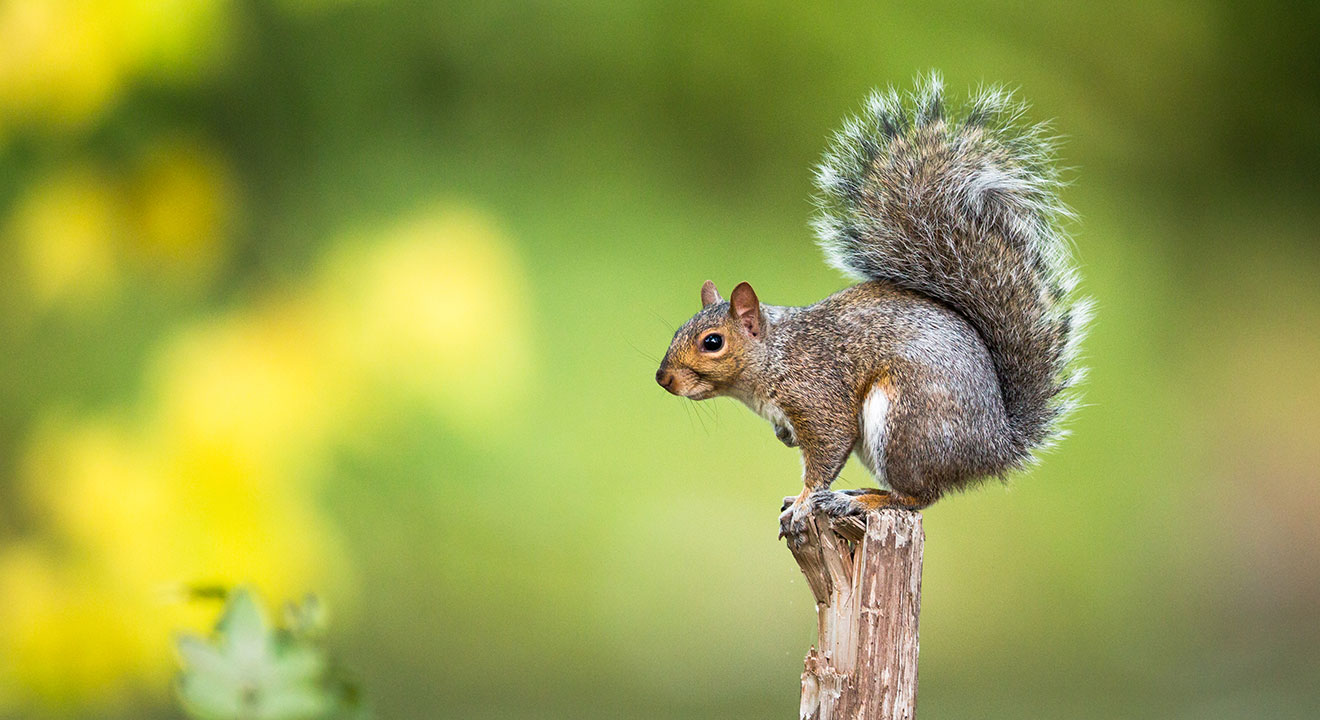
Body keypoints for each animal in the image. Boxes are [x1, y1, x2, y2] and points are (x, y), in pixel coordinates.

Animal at [654, 73, 1090, 543]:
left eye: (712, 342)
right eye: (679, 330)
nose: (663, 379)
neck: (776, 356)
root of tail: (995, 448)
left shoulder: (819, 396)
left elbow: (825, 453)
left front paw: (804, 502)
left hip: (905, 425)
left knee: (917, 496)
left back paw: (857, 501)